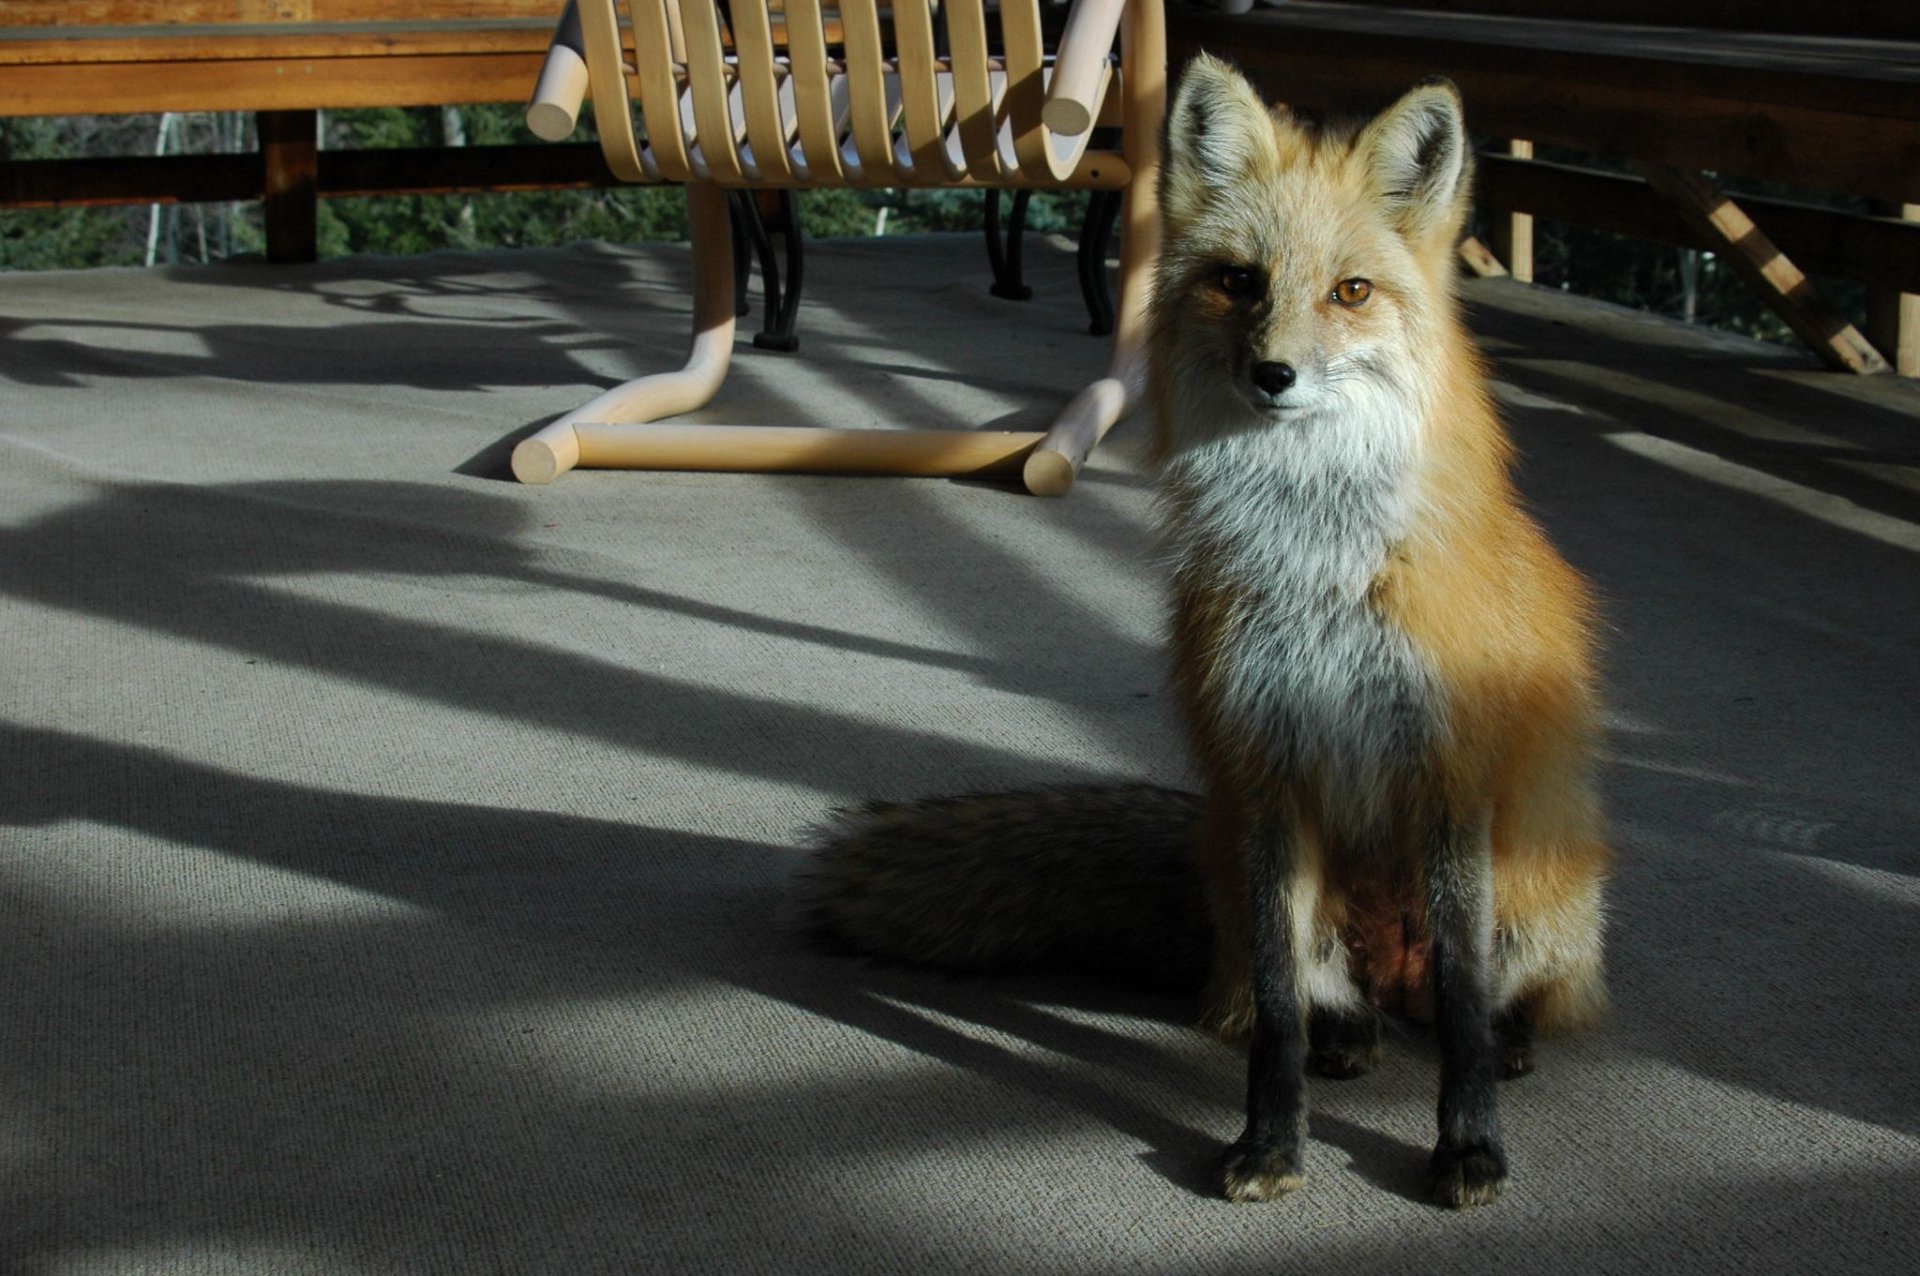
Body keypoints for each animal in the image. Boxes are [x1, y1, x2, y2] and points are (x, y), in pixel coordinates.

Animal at [805, 58, 1610, 1211]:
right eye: (1239, 280)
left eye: (1351, 292)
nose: (1275, 375)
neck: (1316, 566)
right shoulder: (1267, 769)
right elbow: (1273, 1014)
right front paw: (1271, 1141)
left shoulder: (1448, 776)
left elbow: (1460, 1006)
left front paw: (1468, 1146)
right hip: (1251, 866)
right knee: (1319, 999)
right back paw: (1349, 1038)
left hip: (1540, 892)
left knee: (1487, 1000)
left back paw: (1506, 1043)